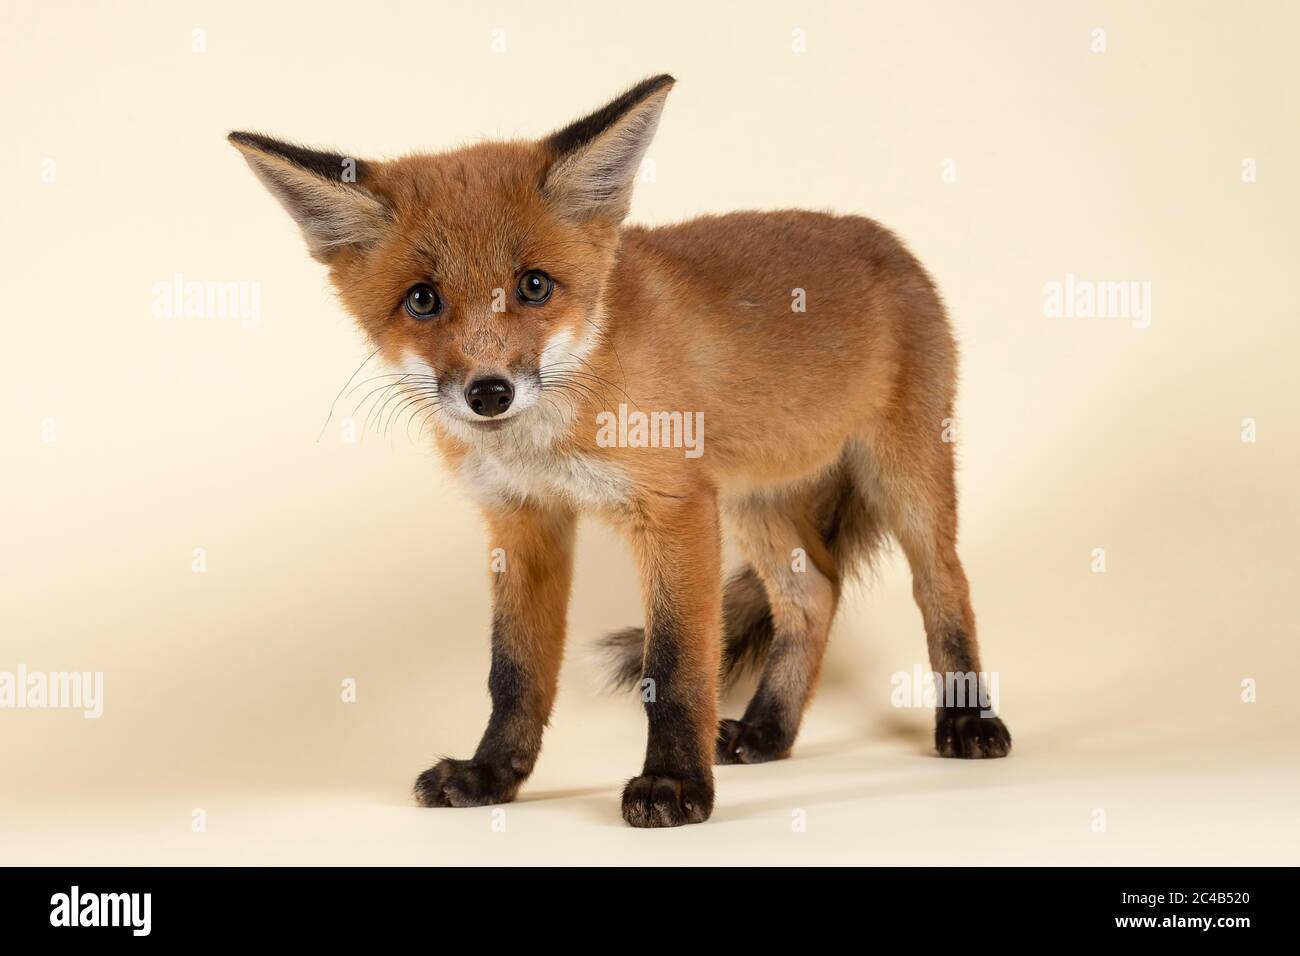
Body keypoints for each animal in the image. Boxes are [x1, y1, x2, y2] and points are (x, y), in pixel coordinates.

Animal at [229, 74, 1011, 828]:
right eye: (422, 301)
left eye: (534, 286)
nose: (490, 392)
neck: (549, 435)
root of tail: (883, 236)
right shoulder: (523, 521)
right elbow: (514, 672)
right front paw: (491, 775)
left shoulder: (674, 510)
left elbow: (677, 666)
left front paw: (674, 783)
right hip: (753, 501)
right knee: (813, 595)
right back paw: (768, 732)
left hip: (903, 477)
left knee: (943, 586)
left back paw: (967, 718)